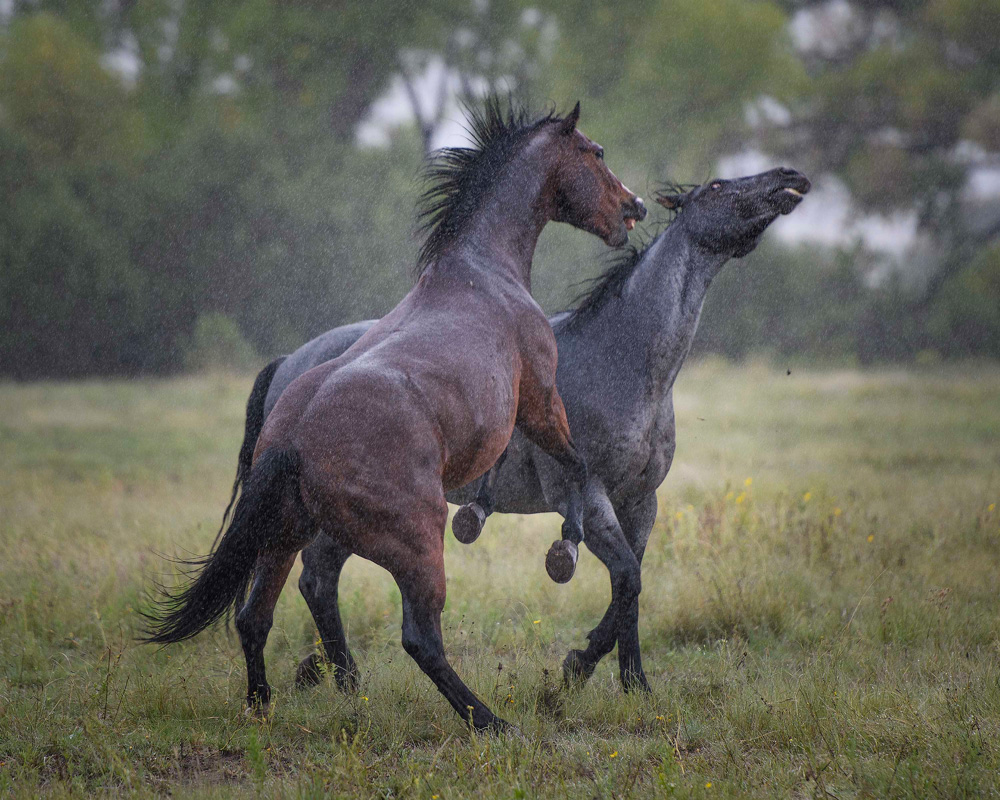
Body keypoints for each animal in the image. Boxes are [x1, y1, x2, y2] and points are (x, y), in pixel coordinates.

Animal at [143, 98, 647, 733]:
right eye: (595, 152)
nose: (634, 206)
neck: (485, 272)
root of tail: (291, 441)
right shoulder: (539, 399)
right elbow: (576, 464)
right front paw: (566, 546)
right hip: (415, 547)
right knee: (419, 637)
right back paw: (489, 721)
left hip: (284, 536)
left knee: (254, 616)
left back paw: (264, 706)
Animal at [235, 167, 810, 694]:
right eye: (717, 188)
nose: (789, 177)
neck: (622, 359)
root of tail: (292, 365)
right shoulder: (588, 498)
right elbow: (627, 577)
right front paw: (595, 669)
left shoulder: (641, 502)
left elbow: (631, 585)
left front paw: (619, 675)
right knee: (316, 578)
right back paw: (344, 679)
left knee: (316, 577)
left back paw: (338, 677)